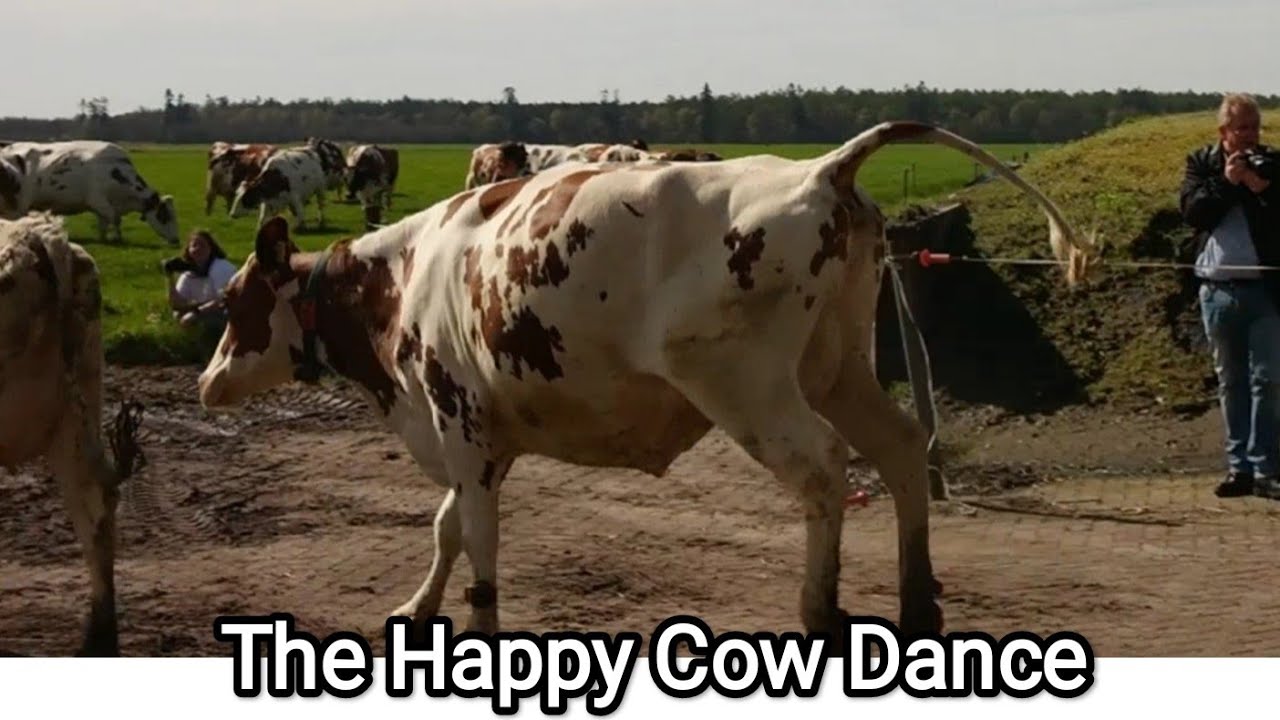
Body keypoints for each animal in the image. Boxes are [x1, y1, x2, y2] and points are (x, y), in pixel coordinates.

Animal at [0, 141, 178, 247]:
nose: (176, 240)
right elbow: (114, 219)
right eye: (164, 215)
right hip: (18, 206)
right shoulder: (99, 200)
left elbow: (106, 223)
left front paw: (105, 239)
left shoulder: (103, 207)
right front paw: (118, 239)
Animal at [195, 121, 1092, 647]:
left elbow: (477, 541)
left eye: (237, 303)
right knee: (902, 450)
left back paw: (819, 611)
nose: (205, 384)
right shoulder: (485, 437)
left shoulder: (461, 424)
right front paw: (416, 607)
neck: (407, 279)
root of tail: (820, 172)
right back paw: (917, 602)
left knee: (824, 470)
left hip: (747, 386)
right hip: (838, 367)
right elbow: (449, 528)